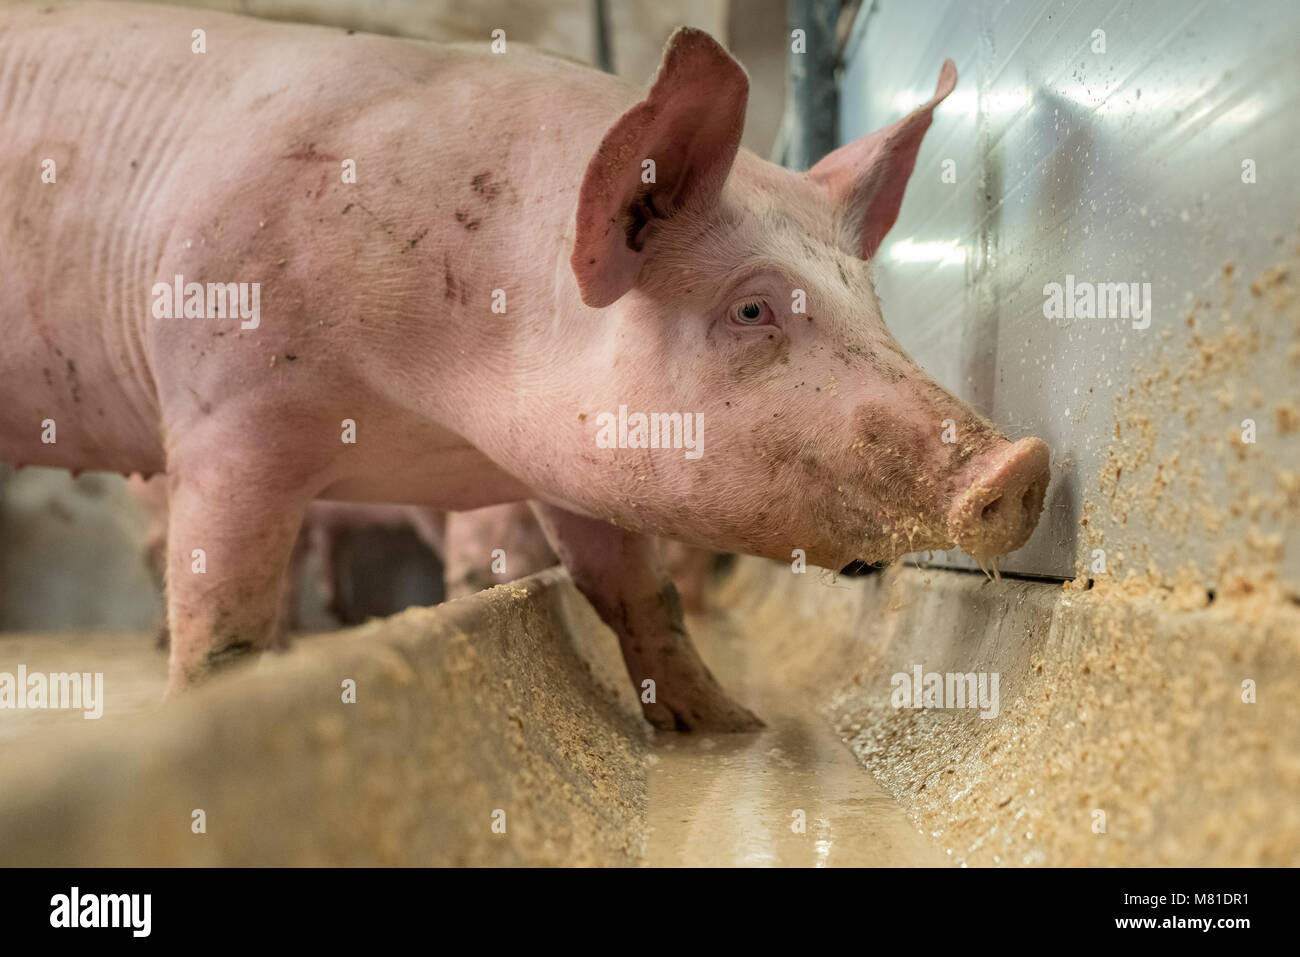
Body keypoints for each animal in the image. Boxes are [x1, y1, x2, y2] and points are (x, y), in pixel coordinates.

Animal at [0, 4, 1049, 731]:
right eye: (752, 308)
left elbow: (639, 591)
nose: (1024, 464)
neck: (435, 402)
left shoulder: (569, 463)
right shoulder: (224, 409)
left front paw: (729, 725)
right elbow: (222, 613)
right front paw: (204, 708)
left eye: (870, 300)